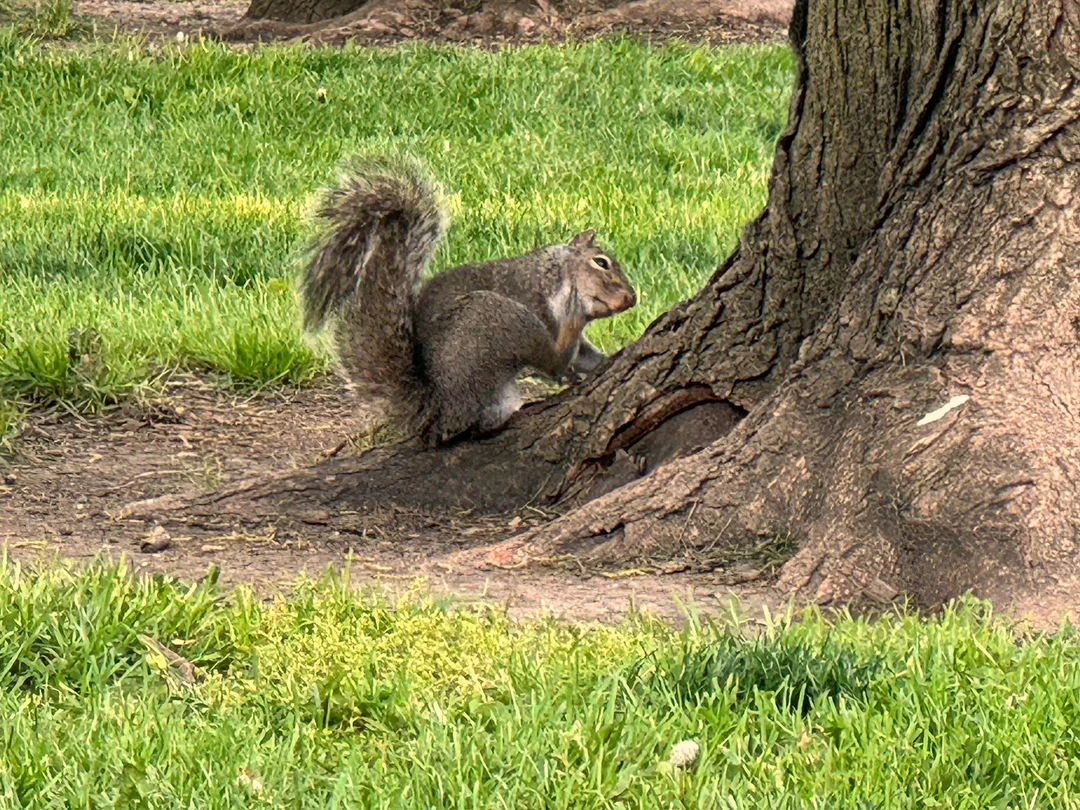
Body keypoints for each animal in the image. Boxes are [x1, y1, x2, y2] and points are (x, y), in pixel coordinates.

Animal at [300, 157, 637, 446]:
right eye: (602, 263)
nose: (631, 299)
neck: (557, 277)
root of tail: (438, 406)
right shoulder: (537, 301)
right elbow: (559, 366)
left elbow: (586, 356)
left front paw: (605, 361)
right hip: (499, 318)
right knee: (549, 360)